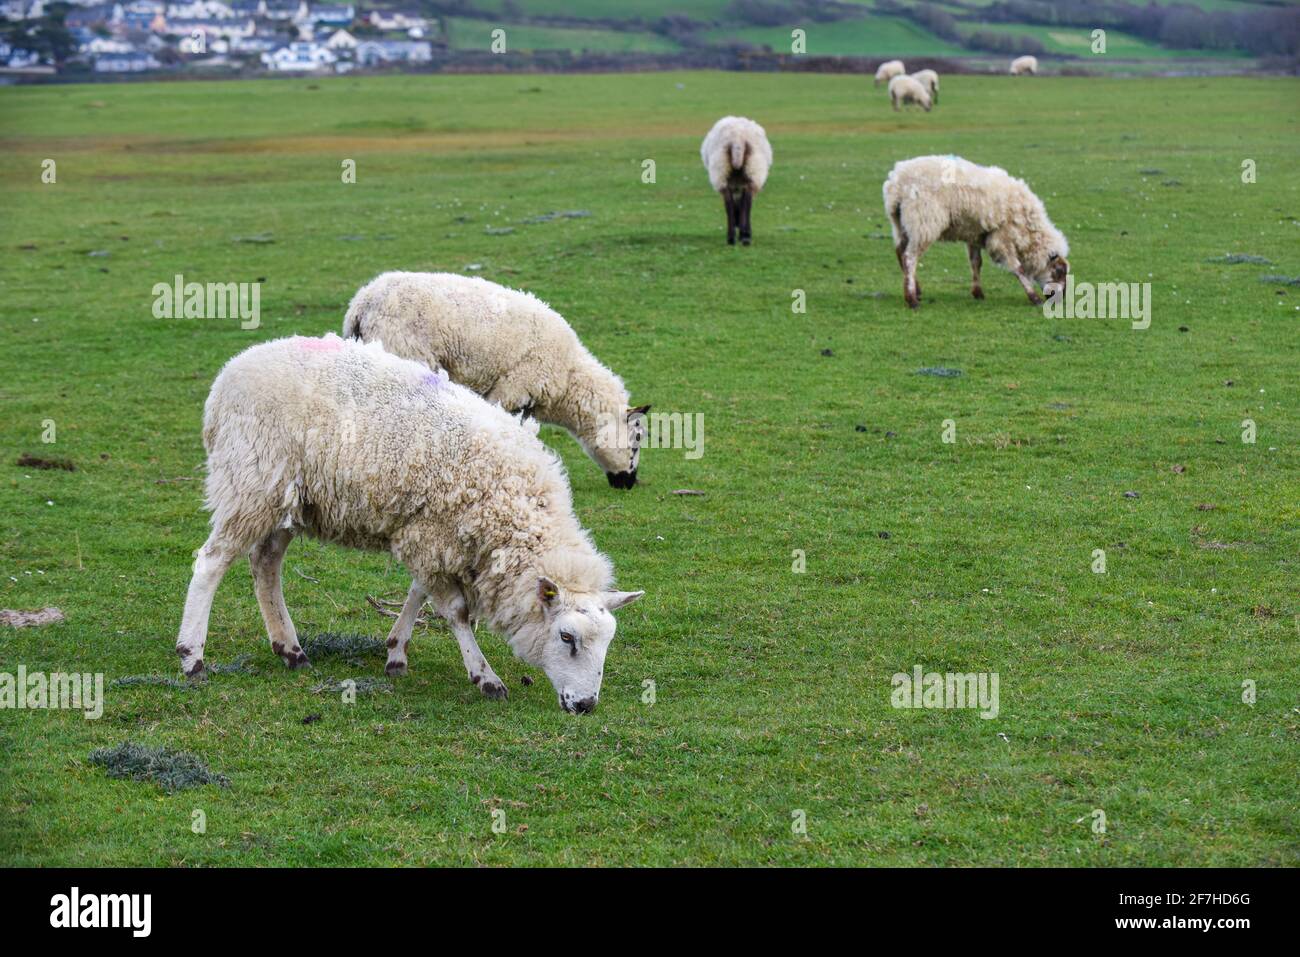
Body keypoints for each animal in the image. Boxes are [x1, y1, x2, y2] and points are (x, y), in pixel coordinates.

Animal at [174, 333, 644, 714]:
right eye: (567, 637)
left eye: (607, 641)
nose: (585, 706)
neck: (514, 503)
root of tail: (229, 374)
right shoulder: (430, 533)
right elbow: (455, 611)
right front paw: (485, 677)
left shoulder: (431, 533)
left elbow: (420, 591)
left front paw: (396, 652)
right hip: (250, 480)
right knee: (211, 562)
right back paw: (192, 657)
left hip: (289, 497)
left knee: (265, 564)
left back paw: (290, 649)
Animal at [344, 272, 648, 490]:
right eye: (636, 439)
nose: (629, 484)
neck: (569, 379)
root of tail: (361, 304)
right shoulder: (514, 390)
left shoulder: (526, 401)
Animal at [700, 115, 773, 246]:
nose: (738, 224)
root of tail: (737, 140)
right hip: (753, 171)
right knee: (743, 203)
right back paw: (743, 236)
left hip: (723, 172)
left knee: (730, 203)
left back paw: (734, 237)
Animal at [882, 155, 1070, 309]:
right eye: (1059, 271)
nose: (1061, 299)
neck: (1028, 230)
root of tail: (897, 183)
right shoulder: (1002, 238)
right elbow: (1018, 269)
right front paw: (1034, 297)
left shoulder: (975, 234)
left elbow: (976, 262)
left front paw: (978, 292)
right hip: (923, 221)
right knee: (910, 258)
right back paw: (911, 299)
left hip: (900, 223)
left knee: (900, 252)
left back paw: (916, 289)